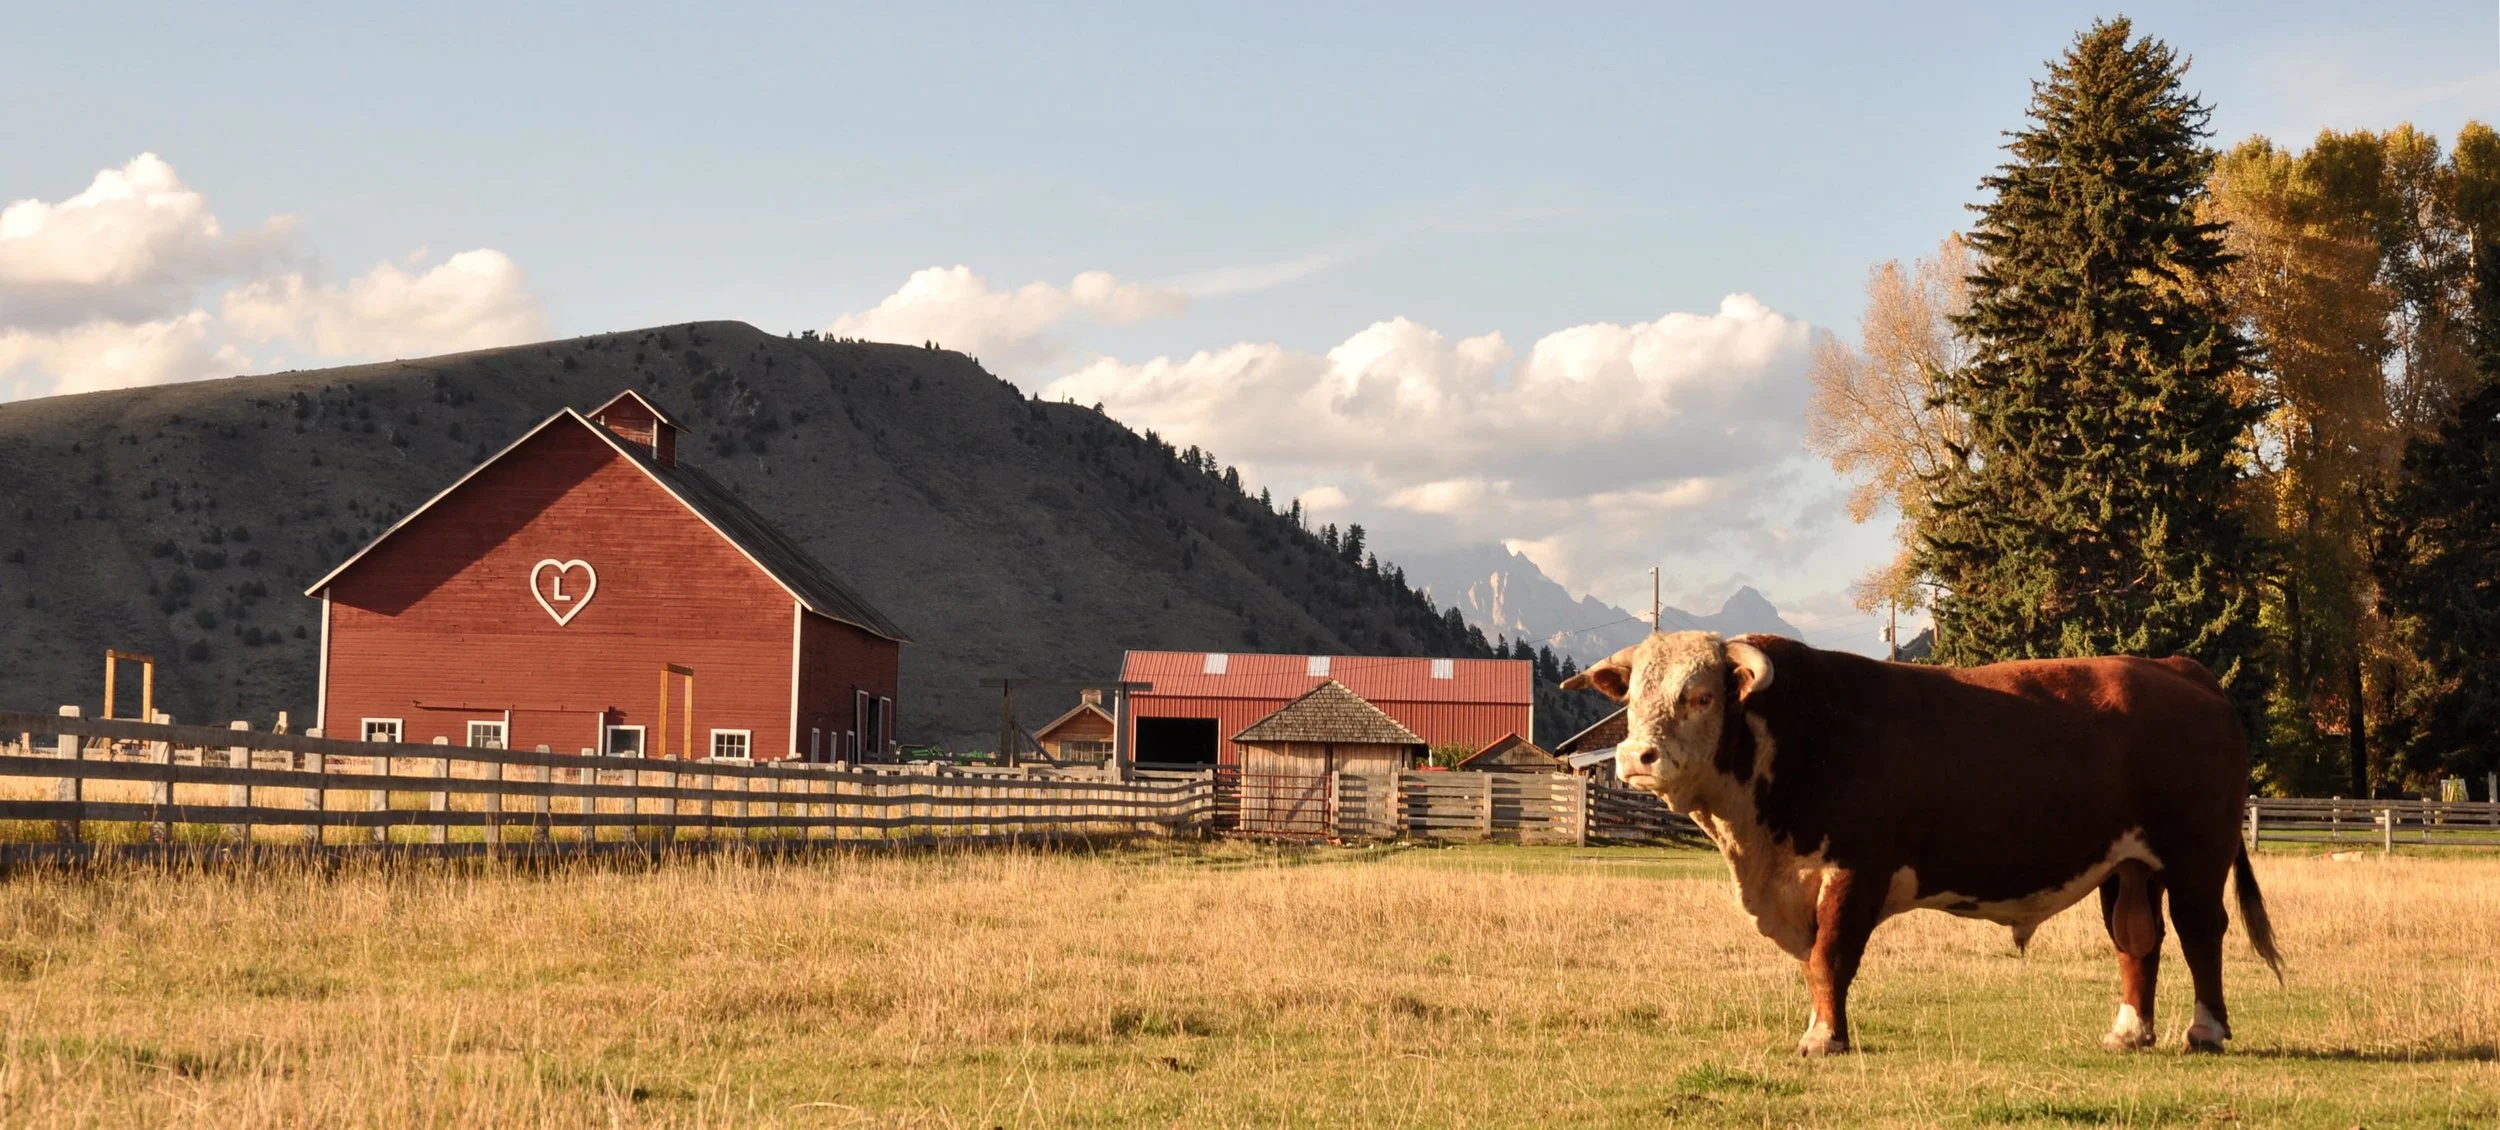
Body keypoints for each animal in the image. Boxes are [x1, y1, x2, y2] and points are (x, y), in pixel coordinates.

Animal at [1562, 631, 2280, 1056]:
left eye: (1701, 695)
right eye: (1633, 695)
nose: (1635, 756)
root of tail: (2175, 668)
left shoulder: (1857, 868)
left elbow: (1828, 957)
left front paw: (1824, 1039)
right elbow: (1814, 961)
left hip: (2196, 851)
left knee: (2200, 931)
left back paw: (2205, 1030)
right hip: (2129, 863)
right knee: (2137, 936)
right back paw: (2129, 1032)